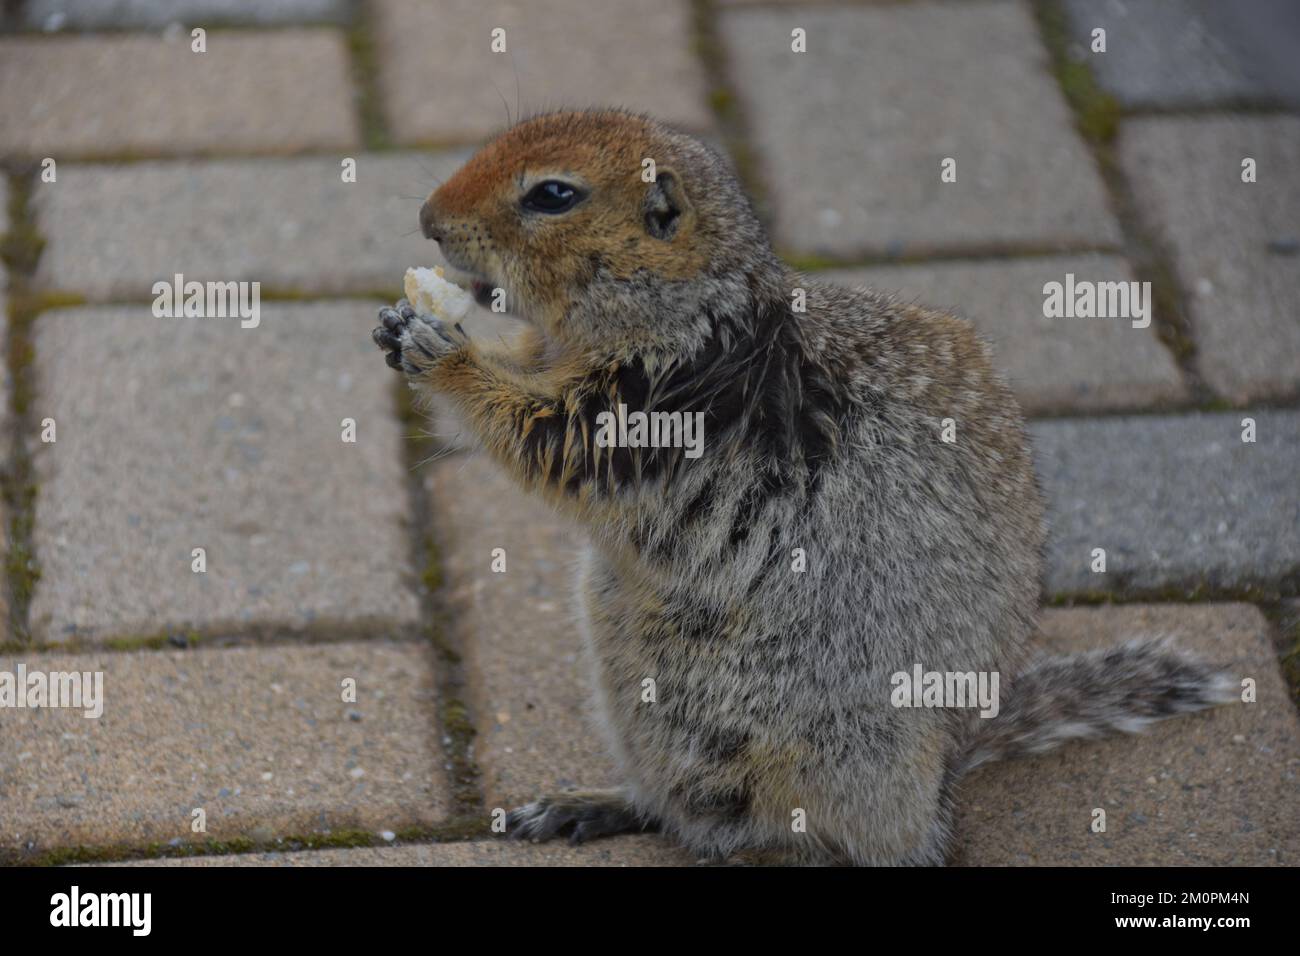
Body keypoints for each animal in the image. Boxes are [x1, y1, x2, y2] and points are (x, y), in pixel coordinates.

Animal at [373, 109, 1237, 865]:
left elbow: (540, 434)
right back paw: (590, 805)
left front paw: (446, 354)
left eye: (553, 194)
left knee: (831, 839)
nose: (424, 217)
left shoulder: (655, 412)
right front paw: (407, 323)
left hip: (839, 752)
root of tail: (943, 779)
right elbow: (528, 366)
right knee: (683, 808)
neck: (697, 313)